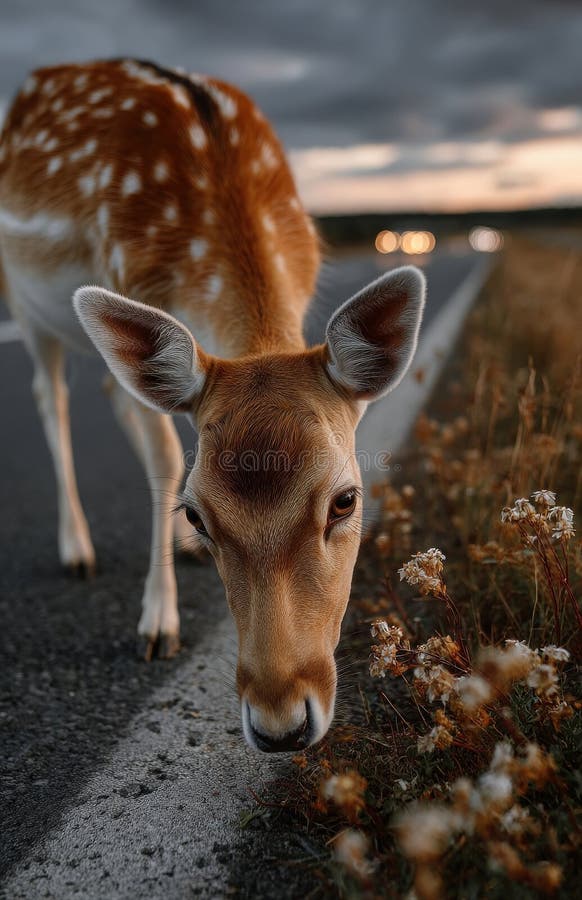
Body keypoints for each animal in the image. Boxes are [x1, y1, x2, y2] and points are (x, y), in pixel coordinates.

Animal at [0, 59, 425, 752]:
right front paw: (157, 625)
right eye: (198, 512)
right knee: (50, 394)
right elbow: (168, 459)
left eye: (346, 500)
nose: (280, 725)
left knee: (106, 394)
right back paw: (77, 550)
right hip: (22, 297)